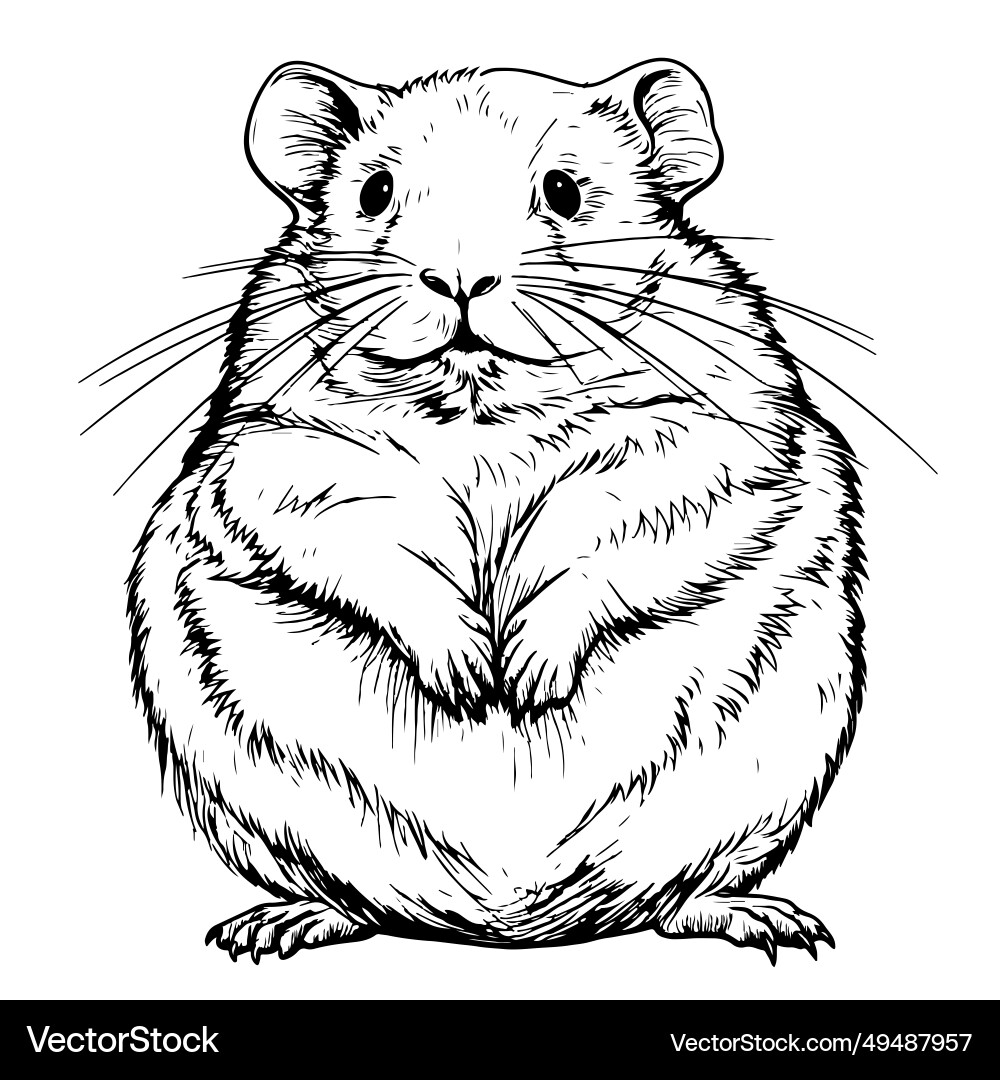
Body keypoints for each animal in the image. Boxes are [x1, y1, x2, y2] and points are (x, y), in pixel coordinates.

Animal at [127, 59, 863, 961]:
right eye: (374, 191)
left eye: (564, 191)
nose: (458, 280)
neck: (480, 408)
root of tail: (507, 918)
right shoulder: (279, 452)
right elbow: (356, 539)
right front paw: (471, 675)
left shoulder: (707, 440)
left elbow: (620, 533)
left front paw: (528, 679)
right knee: (348, 895)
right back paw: (278, 925)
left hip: (769, 767)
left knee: (678, 896)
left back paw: (763, 920)